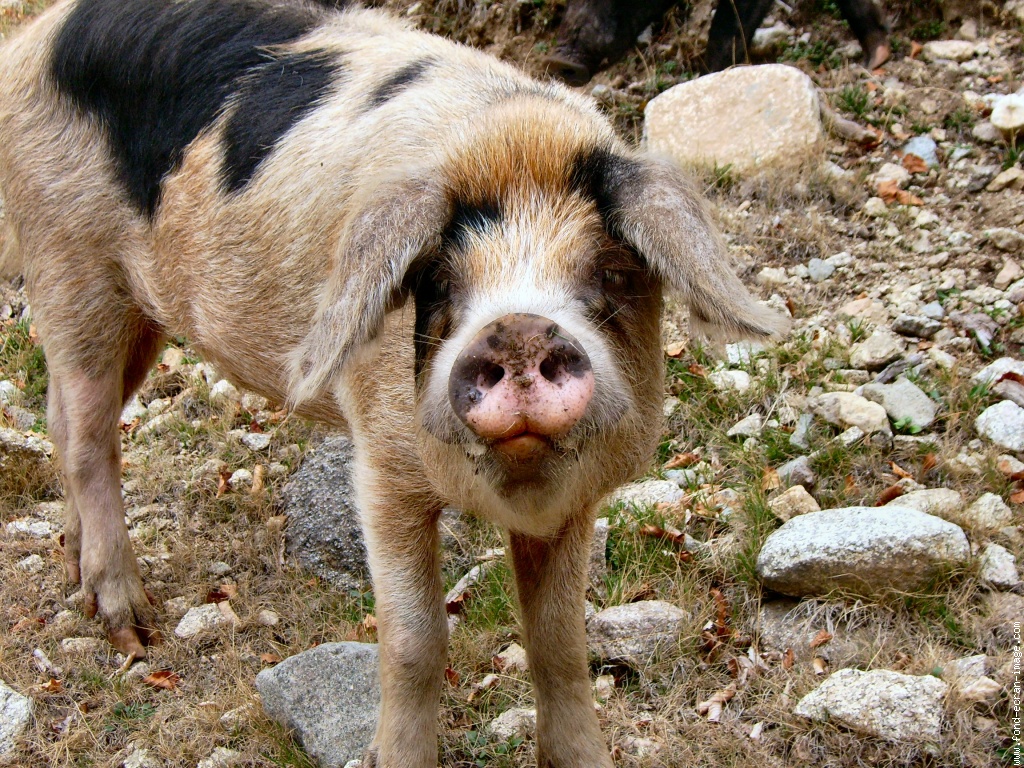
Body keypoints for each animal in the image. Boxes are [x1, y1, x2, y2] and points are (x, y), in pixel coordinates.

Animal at [0, 1, 788, 766]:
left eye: (610, 271)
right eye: (437, 279)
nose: (518, 328)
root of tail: (31, 39)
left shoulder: (576, 500)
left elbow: (562, 645)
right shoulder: (382, 465)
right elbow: (414, 642)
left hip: (134, 311)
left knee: (65, 417)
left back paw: (76, 570)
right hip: (68, 262)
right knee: (88, 437)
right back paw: (132, 628)